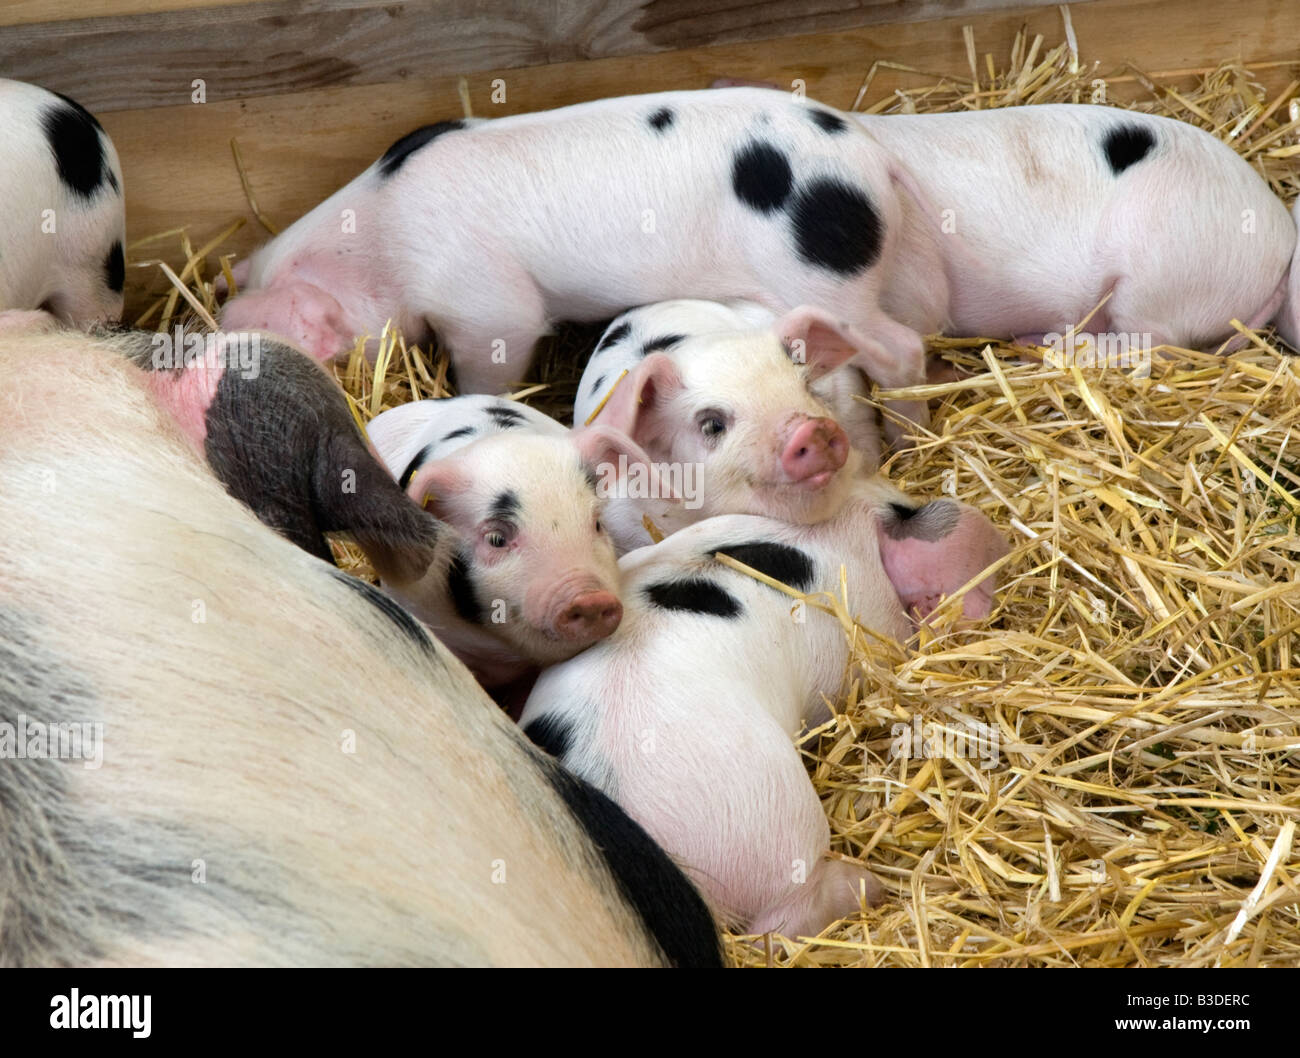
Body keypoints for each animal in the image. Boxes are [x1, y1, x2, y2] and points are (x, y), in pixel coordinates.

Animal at [219, 88, 936, 444]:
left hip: (824, 279)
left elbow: (493, 359)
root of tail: (872, 161)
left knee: (902, 347)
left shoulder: (486, 304)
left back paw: (910, 437)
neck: (381, 238)